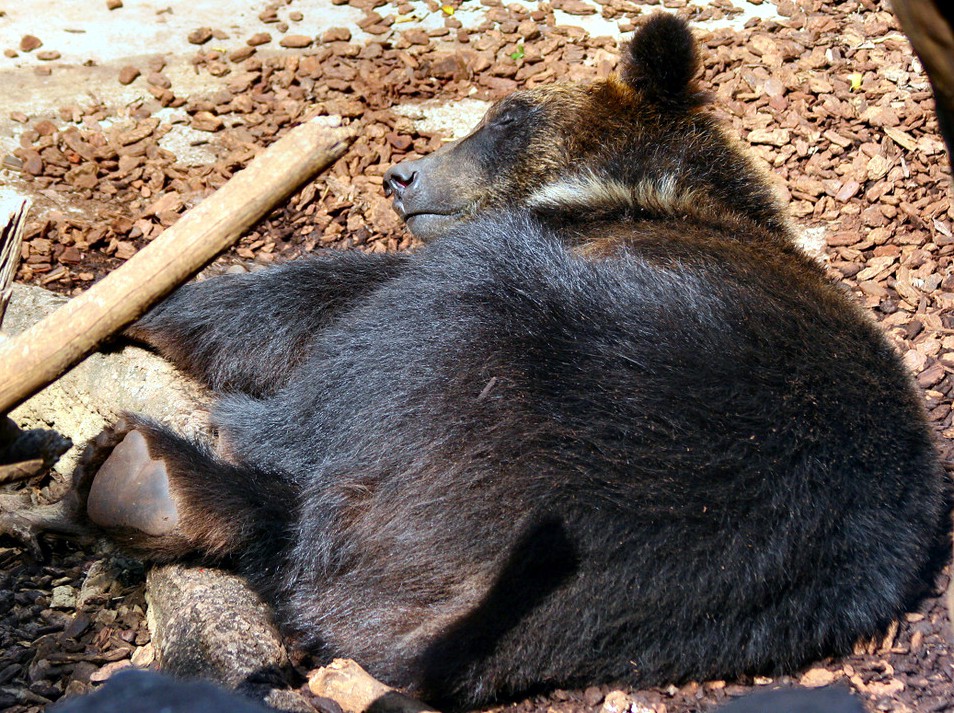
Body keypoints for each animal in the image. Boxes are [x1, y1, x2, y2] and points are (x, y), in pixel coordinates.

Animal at [2, 14, 947, 709]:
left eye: (504, 116)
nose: (402, 173)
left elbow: (322, 298)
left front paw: (146, 309)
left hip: (506, 359)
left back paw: (154, 469)